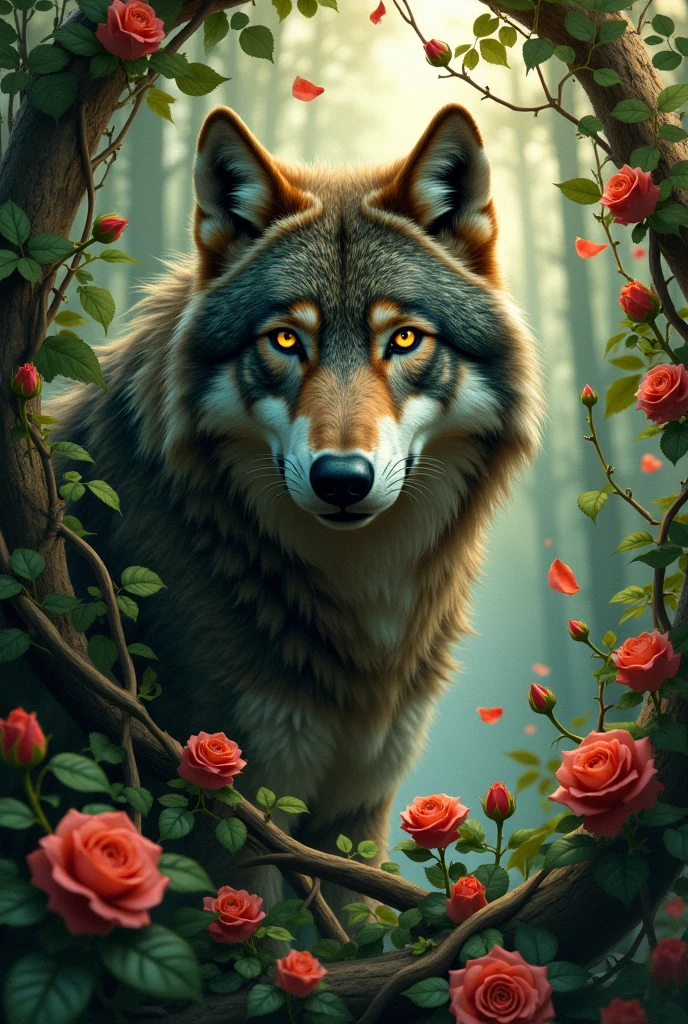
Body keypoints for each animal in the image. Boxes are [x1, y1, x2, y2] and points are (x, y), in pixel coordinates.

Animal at [52, 103, 541, 909]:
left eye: (404, 338)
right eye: (285, 339)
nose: (341, 478)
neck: (357, 598)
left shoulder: (354, 816)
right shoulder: (225, 818)